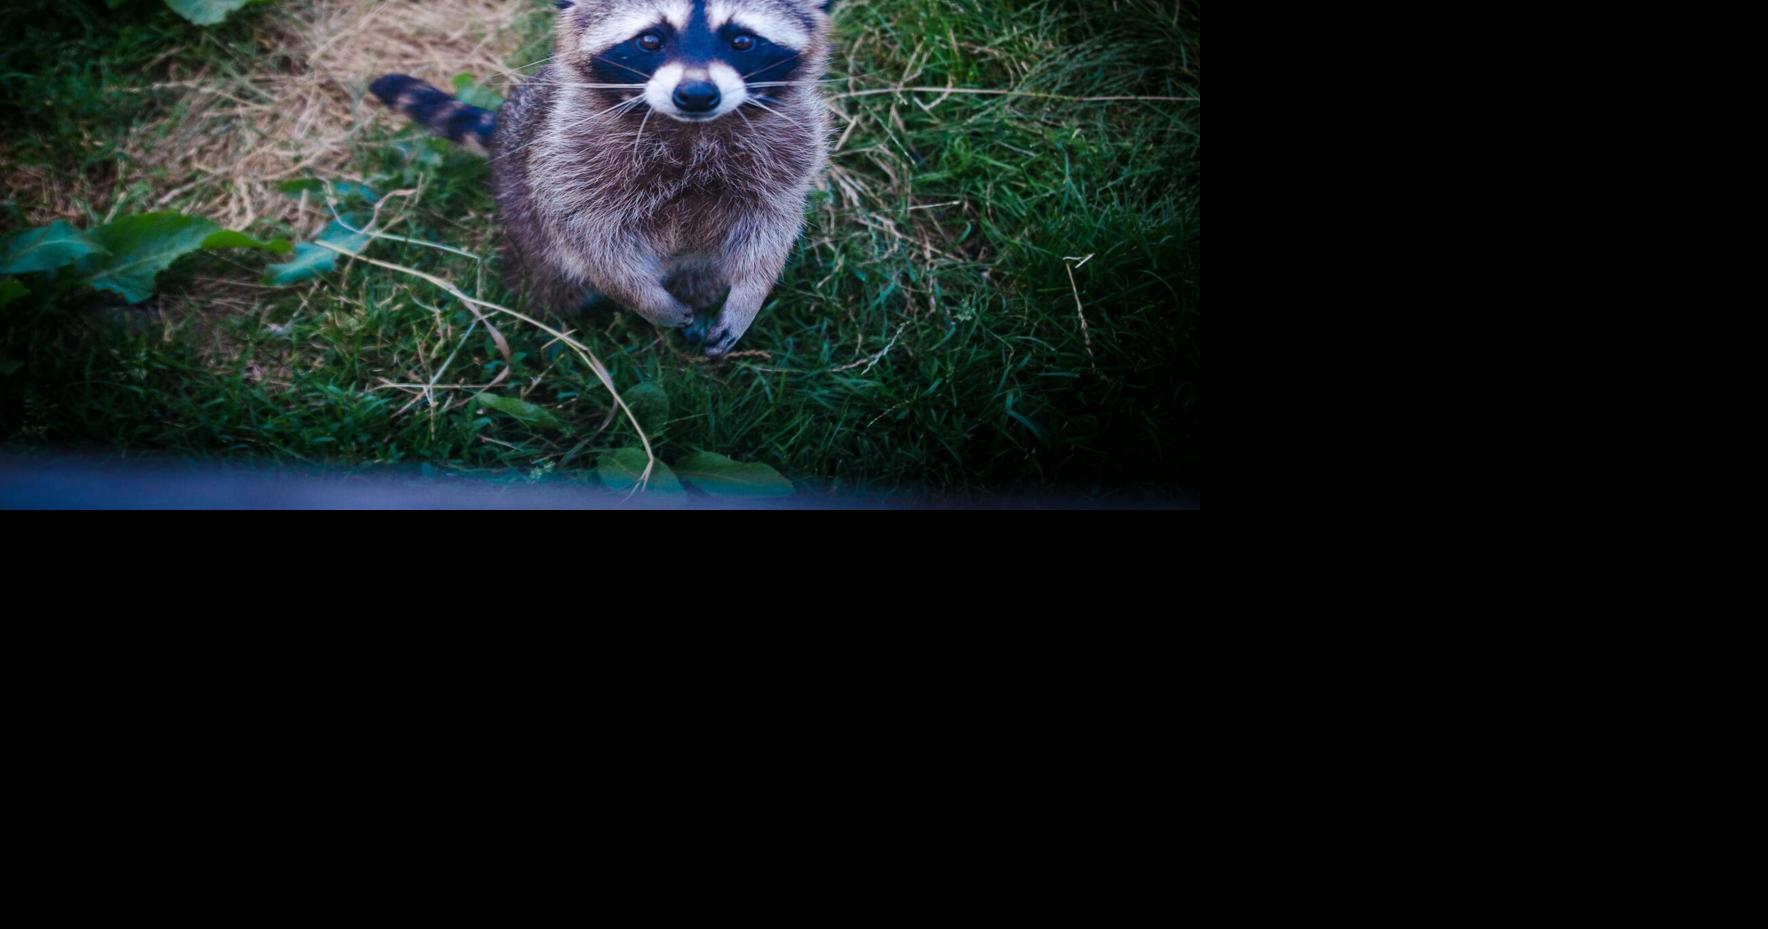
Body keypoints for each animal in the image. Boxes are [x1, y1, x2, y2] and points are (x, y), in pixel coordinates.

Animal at [371, 0, 834, 358]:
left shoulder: (790, 152)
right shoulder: (567, 160)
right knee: (548, 279)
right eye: (650, 39)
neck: (693, 129)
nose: (697, 95)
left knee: (703, 274)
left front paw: (749, 296)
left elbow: (772, 229)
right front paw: (645, 299)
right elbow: (591, 241)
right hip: (519, 205)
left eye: (742, 40)